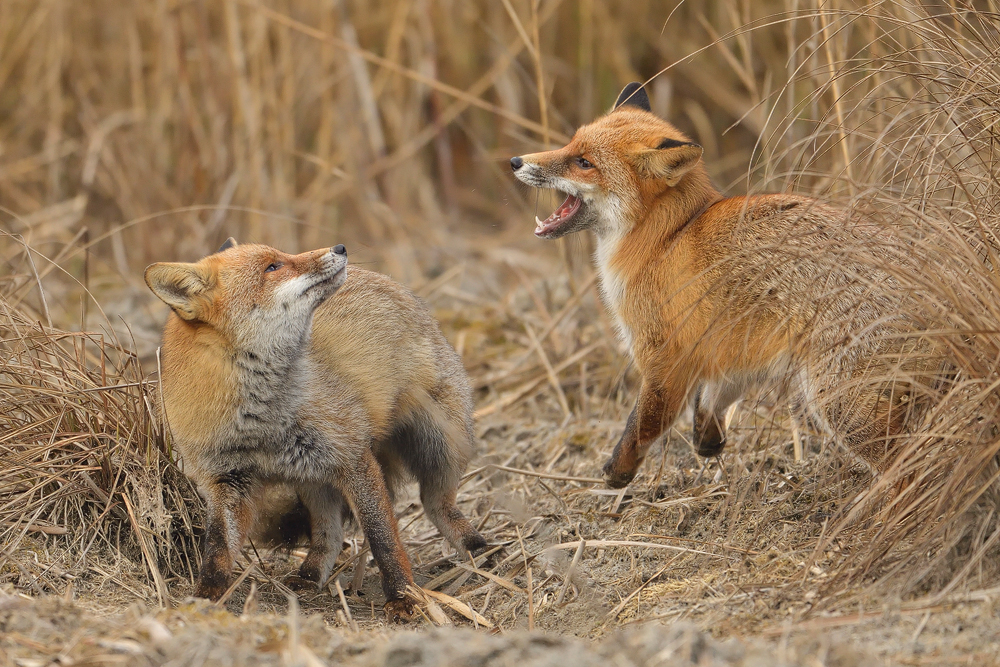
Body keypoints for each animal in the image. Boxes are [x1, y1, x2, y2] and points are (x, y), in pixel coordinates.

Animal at [146, 240, 486, 620]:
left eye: (280, 256)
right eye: (273, 267)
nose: (339, 247)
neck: (259, 423)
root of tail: (389, 282)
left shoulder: (354, 457)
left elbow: (383, 538)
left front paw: (403, 595)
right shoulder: (228, 482)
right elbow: (217, 547)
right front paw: (205, 598)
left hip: (441, 444)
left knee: (435, 503)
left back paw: (476, 548)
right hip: (312, 477)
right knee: (330, 534)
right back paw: (310, 575)